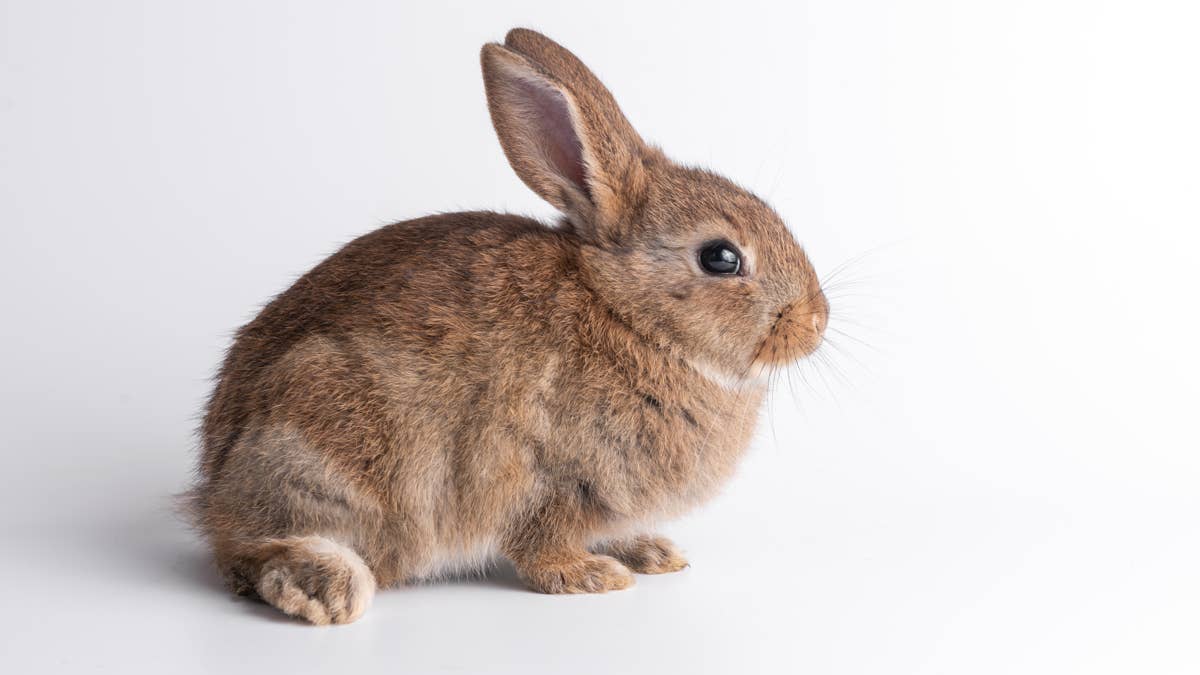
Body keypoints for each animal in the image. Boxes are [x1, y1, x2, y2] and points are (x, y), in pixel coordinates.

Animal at [188, 27, 829, 625]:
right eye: (721, 258)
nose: (816, 322)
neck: (628, 314)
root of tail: (212, 487)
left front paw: (651, 553)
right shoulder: (556, 479)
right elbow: (543, 542)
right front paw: (593, 577)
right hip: (325, 445)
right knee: (254, 551)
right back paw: (330, 587)